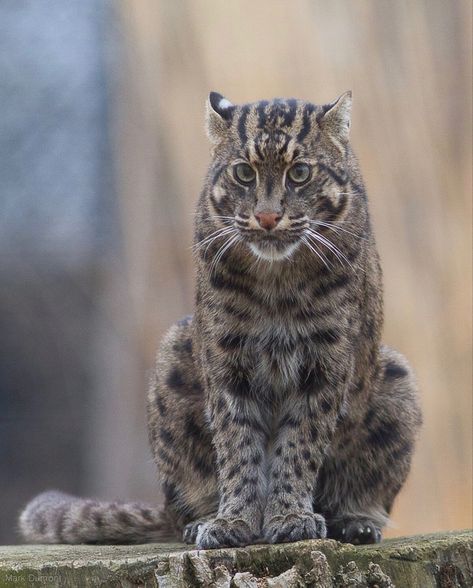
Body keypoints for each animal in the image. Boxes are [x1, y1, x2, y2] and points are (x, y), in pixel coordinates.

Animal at [19, 90, 420, 548]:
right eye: (244, 173)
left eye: (300, 173)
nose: (267, 218)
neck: (277, 279)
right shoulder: (227, 360)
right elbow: (237, 445)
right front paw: (235, 521)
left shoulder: (326, 362)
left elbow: (299, 444)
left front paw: (289, 517)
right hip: (173, 354)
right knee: (184, 503)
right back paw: (200, 521)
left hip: (397, 378)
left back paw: (354, 521)